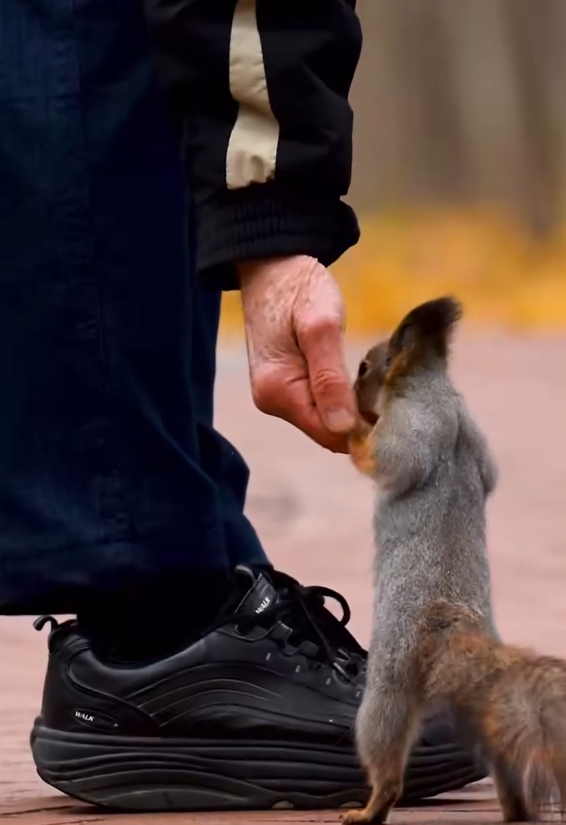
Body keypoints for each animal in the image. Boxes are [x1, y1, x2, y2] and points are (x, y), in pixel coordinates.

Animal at [343, 296, 566, 824]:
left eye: (364, 366)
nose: (351, 390)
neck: (433, 385)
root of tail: (454, 630)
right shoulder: (477, 438)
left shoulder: (412, 423)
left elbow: (391, 459)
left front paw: (353, 432)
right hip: (485, 717)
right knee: (505, 759)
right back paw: (516, 810)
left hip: (387, 684)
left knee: (386, 759)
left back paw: (368, 810)